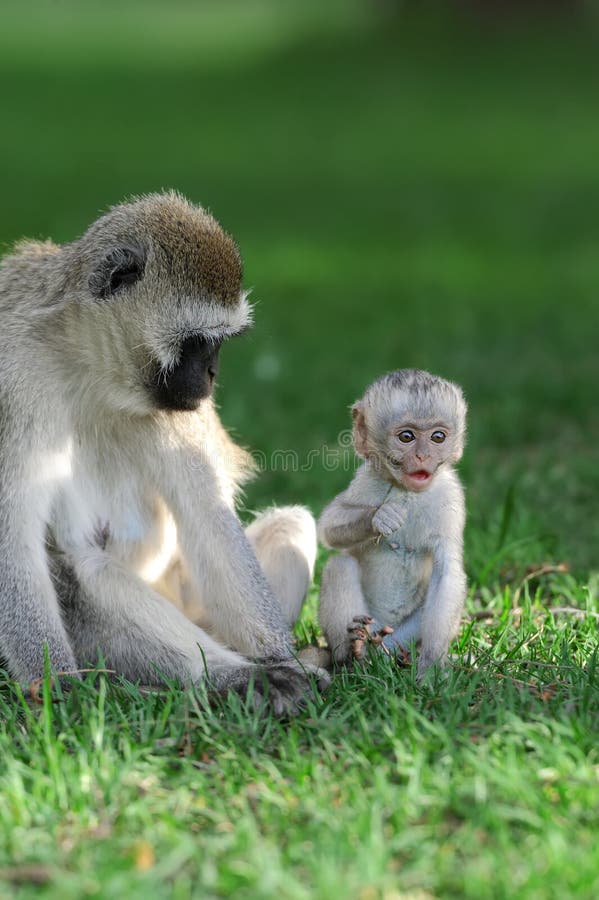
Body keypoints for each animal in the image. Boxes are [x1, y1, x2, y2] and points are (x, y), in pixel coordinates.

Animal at [0, 191, 328, 716]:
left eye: (221, 344)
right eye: (198, 342)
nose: (212, 374)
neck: (91, 372)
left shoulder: (177, 407)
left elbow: (209, 518)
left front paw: (283, 659)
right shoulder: (16, 380)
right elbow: (13, 538)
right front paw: (57, 688)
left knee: (290, 521)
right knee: (85, 569)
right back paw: (231, 677)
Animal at [317, 369, 467, 680]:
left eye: (438, 437)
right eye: (406, 437)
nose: (423, 456)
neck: (408, 493)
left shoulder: (451, 497)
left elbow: (447, 572)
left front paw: (432, 667)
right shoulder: (366, 479)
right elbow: (329, 526)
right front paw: (380, 518)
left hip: (399, 636)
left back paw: (394, 656)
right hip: (369, 620)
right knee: (340, 564)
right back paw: (354, 655)